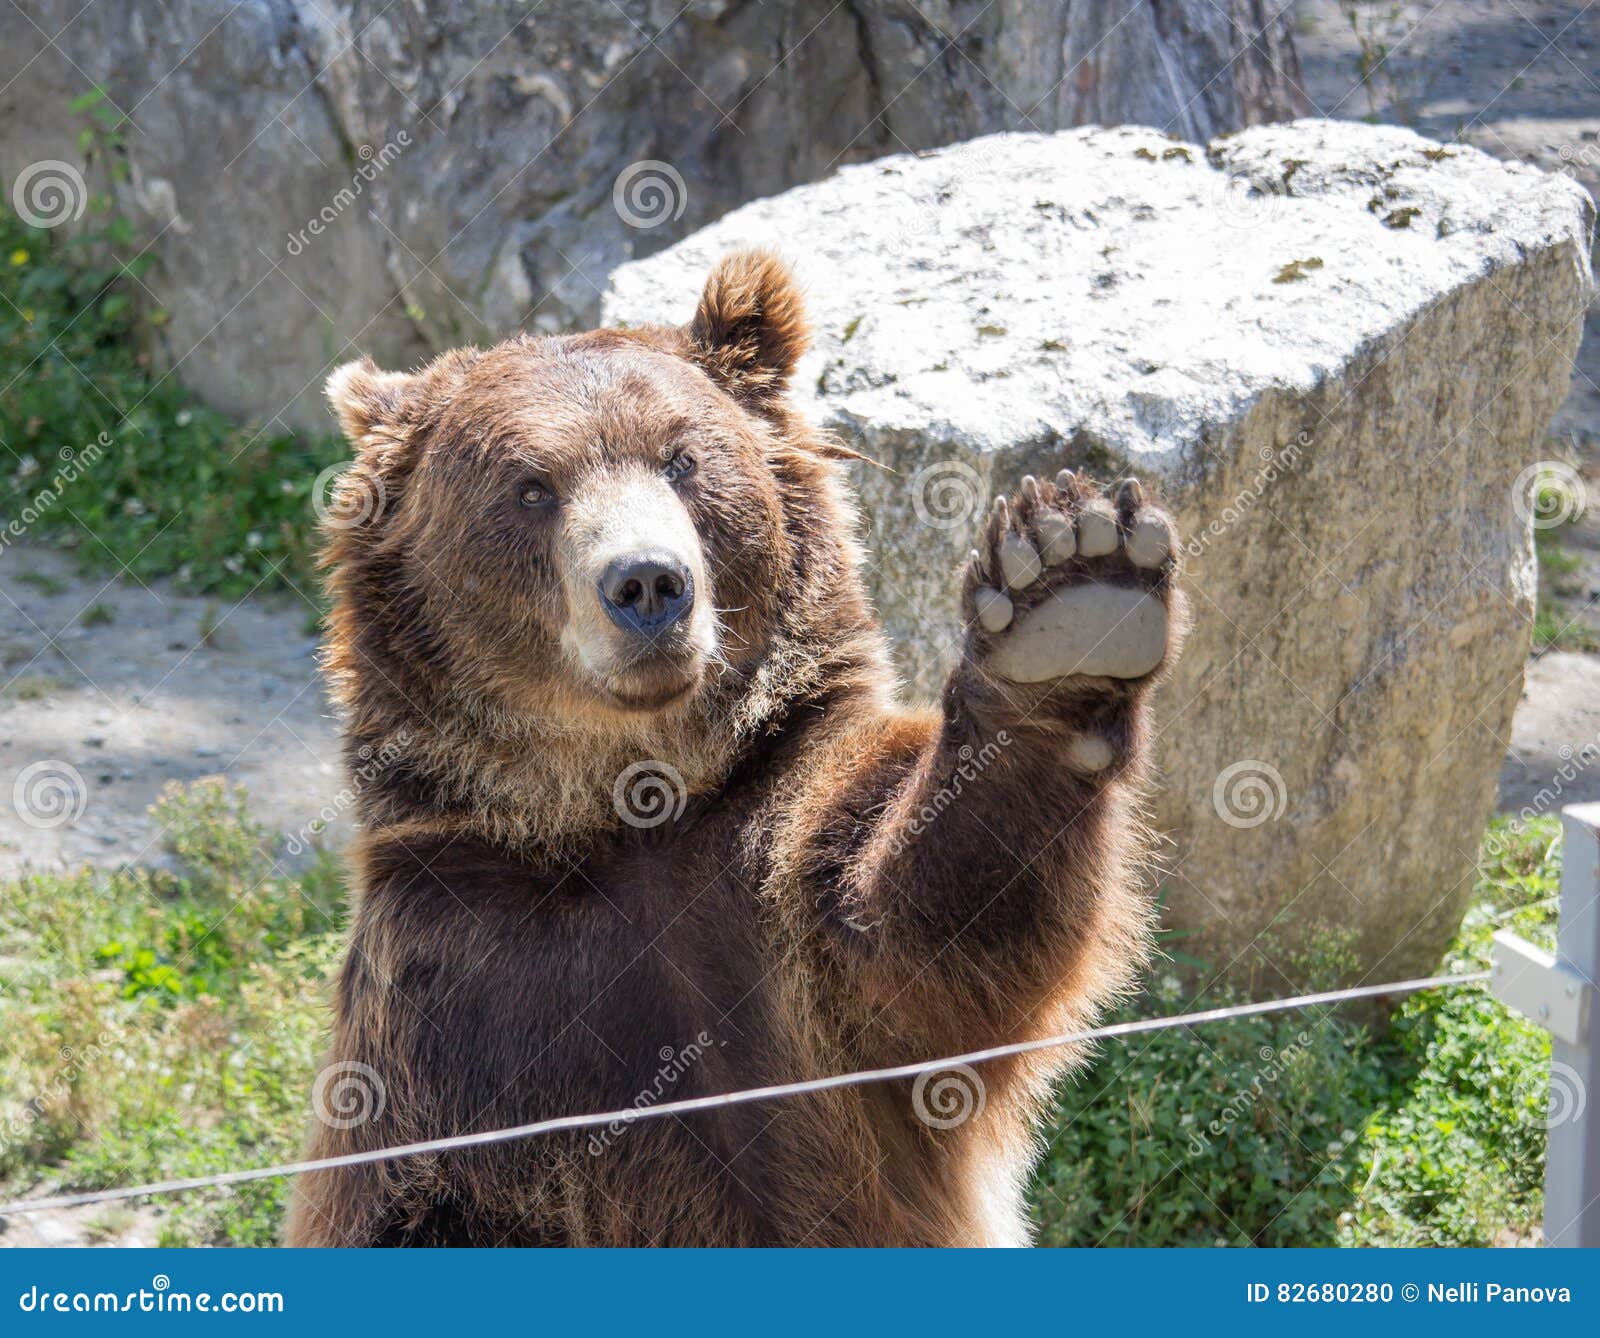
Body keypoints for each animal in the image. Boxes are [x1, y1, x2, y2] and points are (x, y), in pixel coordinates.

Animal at [284, 250, 1185, 1248]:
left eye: (681, 459)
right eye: (531, 486)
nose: (648, 583)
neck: (619, 807)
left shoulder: (777, 912)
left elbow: (925, 933)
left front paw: (1068, 589)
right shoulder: (453, 989)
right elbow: (431, 1200)